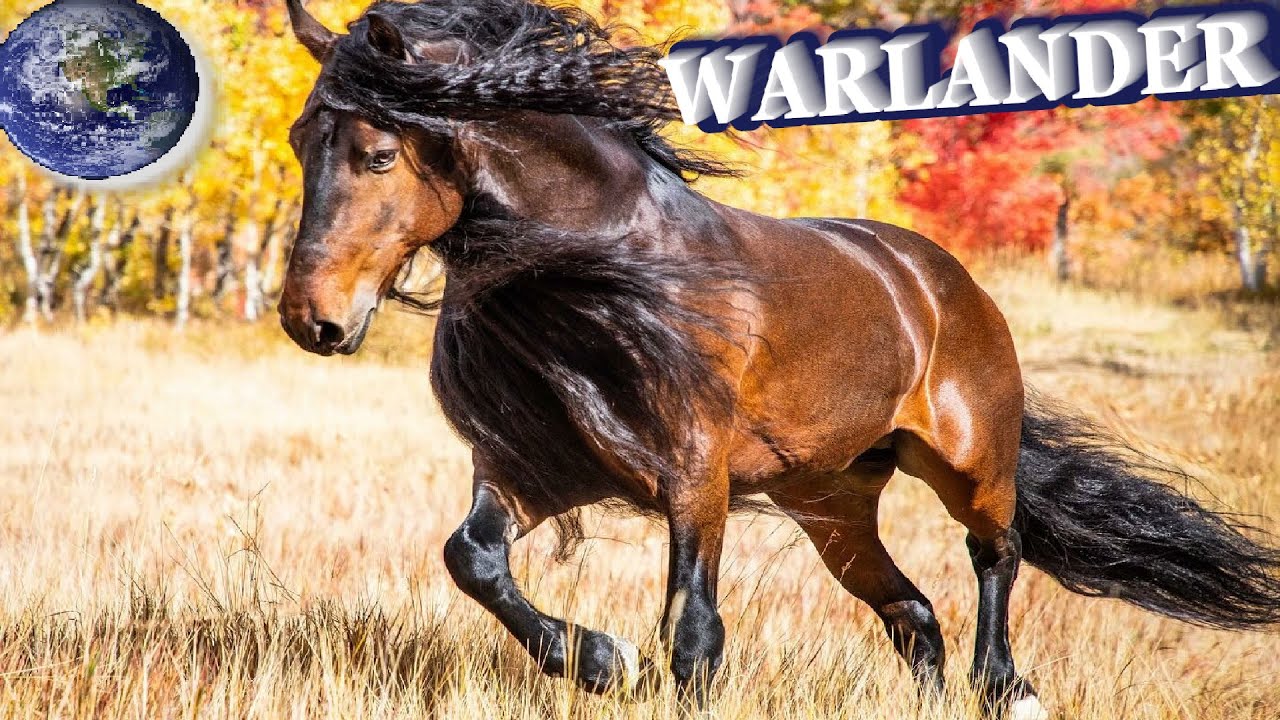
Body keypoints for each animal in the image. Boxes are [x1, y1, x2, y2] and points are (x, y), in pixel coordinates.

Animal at [276, 0, 1280, 715]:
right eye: (297, 142)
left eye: (376, 154)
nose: (310, 320)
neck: (606, 274)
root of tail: (941, 278)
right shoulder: (533, 471)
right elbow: (472, 559)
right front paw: (601, 660)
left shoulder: (695, 478)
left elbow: (694, 636)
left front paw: (631, 662)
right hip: (831, 504)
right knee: (913, 614)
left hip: (970, 463)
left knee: (996, 554)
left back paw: (1009, 691)